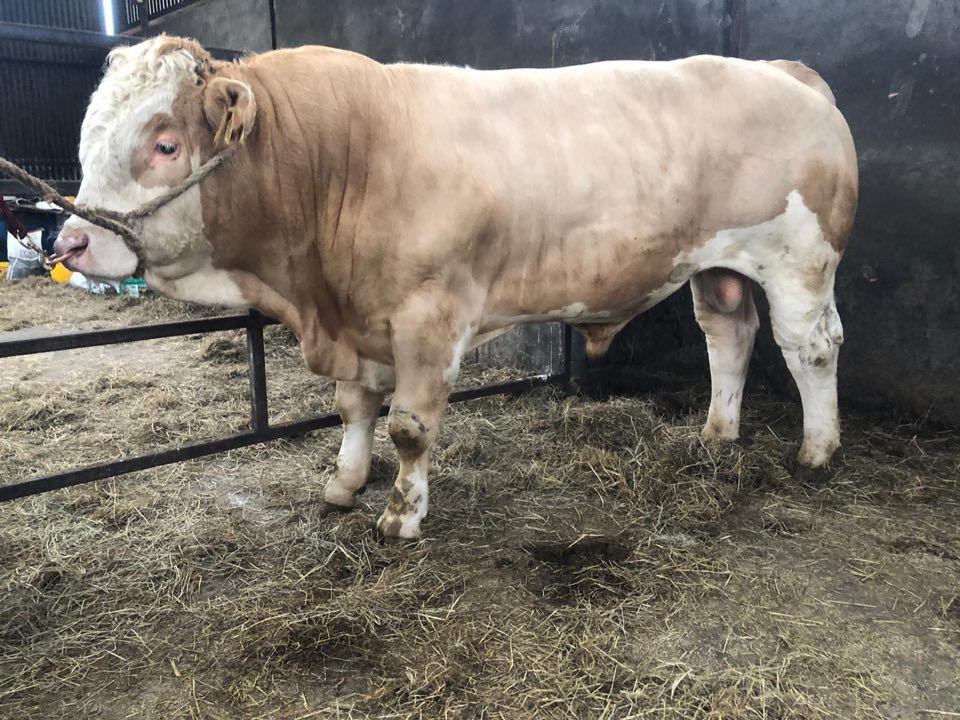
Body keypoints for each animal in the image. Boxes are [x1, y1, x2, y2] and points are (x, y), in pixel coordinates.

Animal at [54, 36, 858, 539]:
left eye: (164, 142)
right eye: (88, 139)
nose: (70, 241)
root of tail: (784, 70)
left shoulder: (429, 317)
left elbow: (409, 427)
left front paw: (401, 516)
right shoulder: (360, 320)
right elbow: (354, 407)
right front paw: (345, 483)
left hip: (799, 261)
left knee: (811, 348)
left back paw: (818, 452)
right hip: (718, 267)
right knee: (729, 334)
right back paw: (717, 435)